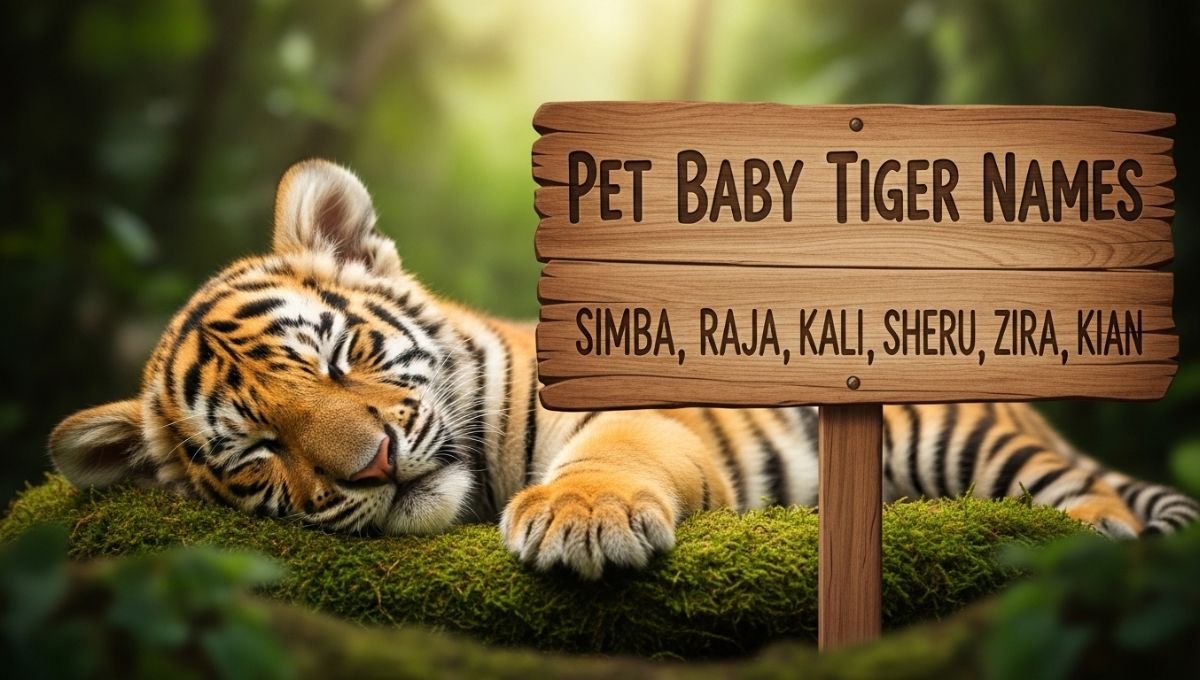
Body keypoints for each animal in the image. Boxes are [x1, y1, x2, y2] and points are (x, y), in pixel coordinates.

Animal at [49, 159, 1199, 579]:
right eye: (255, 450)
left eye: (339, 357)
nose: (371, 466)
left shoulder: (634, 409)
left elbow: (616, 449)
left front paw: (581, 519)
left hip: (966, 435)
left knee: (1084, 487)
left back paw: (1101, 526)